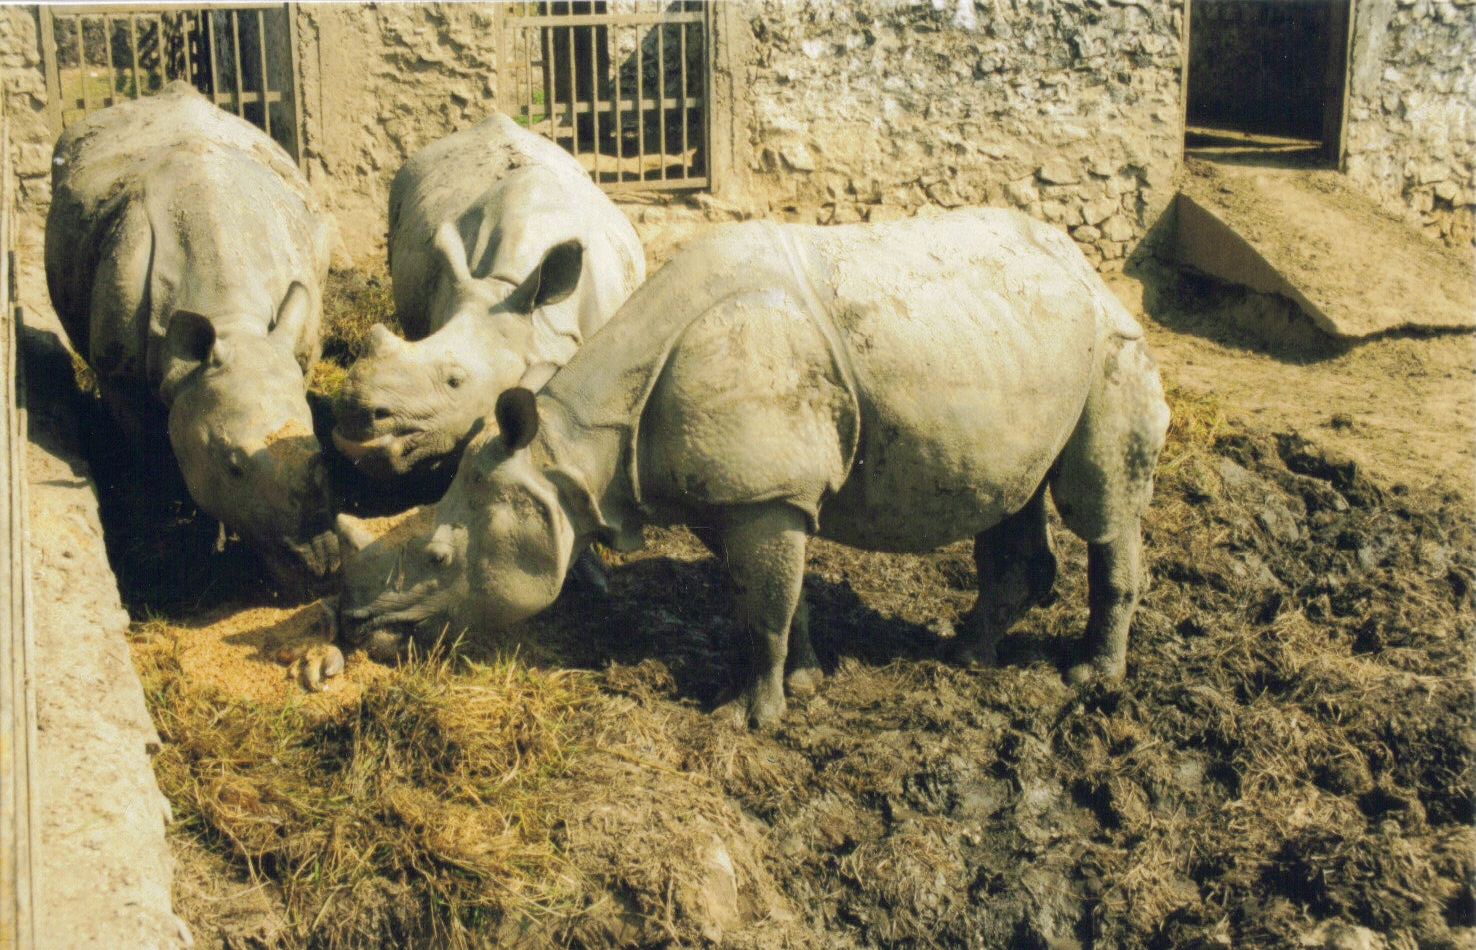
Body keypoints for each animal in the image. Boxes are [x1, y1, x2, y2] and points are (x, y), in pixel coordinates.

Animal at [46, 83, 338, 592]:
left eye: (322, 453)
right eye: (232, 467)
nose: (317, 571)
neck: (231, 318)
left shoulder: (293, 353)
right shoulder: (121, 376)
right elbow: (157, 455)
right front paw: (186, 546)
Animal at [336, 209, 1171, 728]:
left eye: (440, 557)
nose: (356, 623)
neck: (569, 453)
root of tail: (1091, 271)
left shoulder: (765, 494)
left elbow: (763, 608)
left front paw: (748, 717)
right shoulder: (740, 496)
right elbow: (775, 598)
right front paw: (803, 682)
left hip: (1113, 343)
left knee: (1100, 508)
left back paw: (1090, 679)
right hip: (1018, 339)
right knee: (1013, 499)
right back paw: (966, 654)